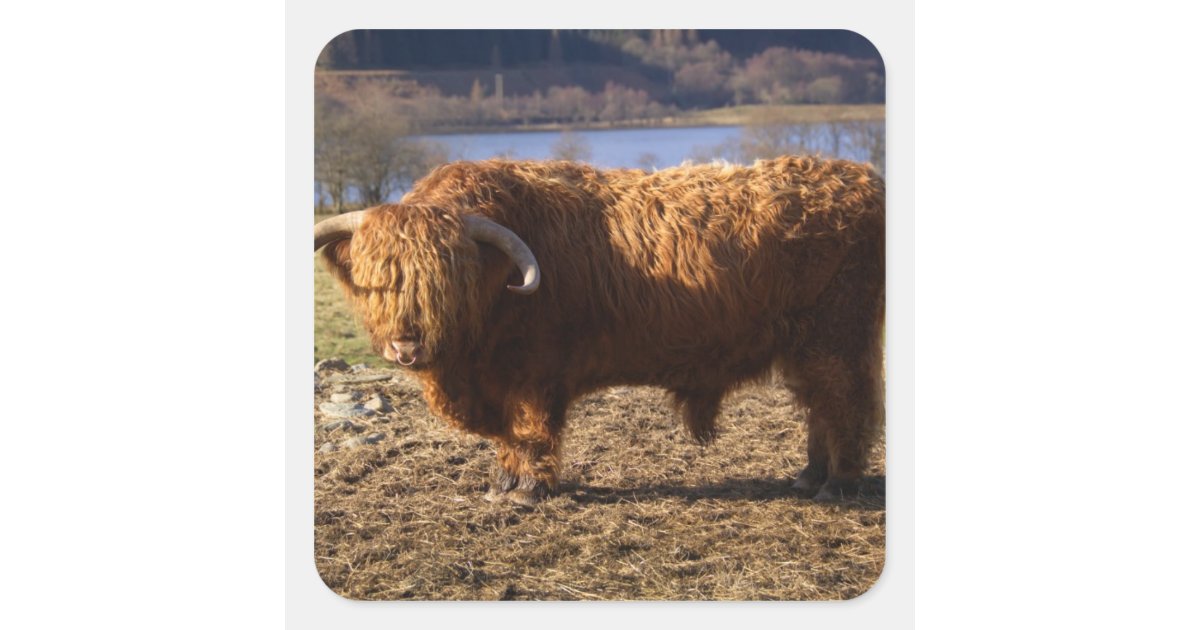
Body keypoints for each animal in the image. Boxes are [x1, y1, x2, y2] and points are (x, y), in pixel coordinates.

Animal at [314, 157, 884, 506]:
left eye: (445, 279)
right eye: (376, 279)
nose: (407, 346)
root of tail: (860, 176)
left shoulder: (537, 374)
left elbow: (533, 430)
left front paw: (528, 490)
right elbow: (508, 437)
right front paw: (503, 482)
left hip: (838, 336)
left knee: (847, 403)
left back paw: (838, 484)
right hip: (806, 344)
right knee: (818, 406)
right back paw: (809, 476)